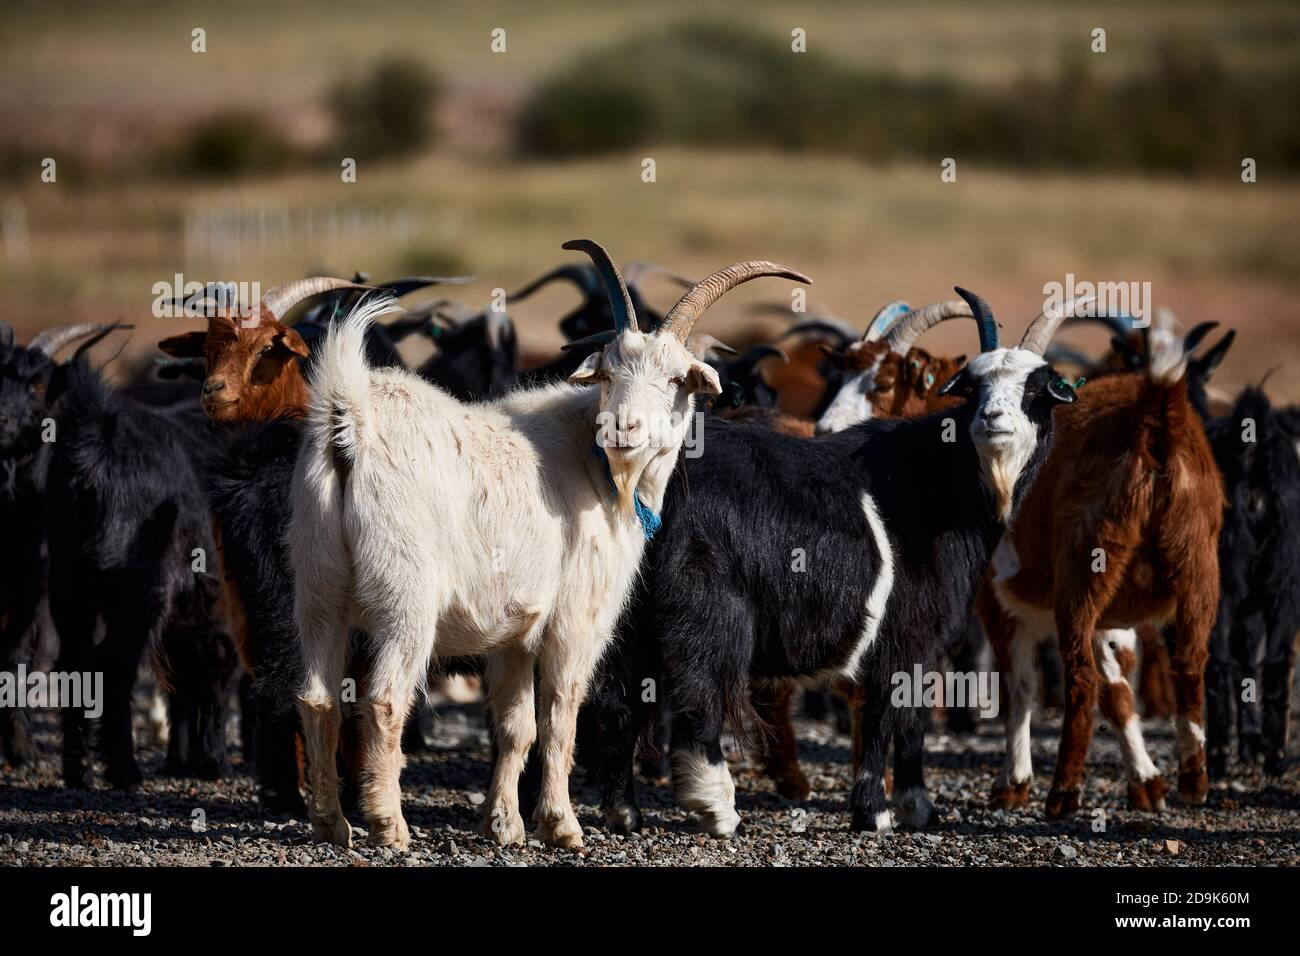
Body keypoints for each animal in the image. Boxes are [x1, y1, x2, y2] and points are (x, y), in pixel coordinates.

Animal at [290, 239, 807, 850]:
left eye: (677, 380)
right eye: (609, 371)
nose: (623, 429)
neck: (595, 466)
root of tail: (352, 421)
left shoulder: (513, 631)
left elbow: (515, 727)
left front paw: (503, 825)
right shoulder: (575, 619)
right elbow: (560, 716)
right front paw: (561, 824)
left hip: (318, 585)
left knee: (317, 698)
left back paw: (331, 821)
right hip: (405, 598)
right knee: (386, 699)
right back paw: (388, 823)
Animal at [591, 289, 1077, 835]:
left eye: (1039, 389)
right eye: (974, 386)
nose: (992, 419)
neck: (938, 480)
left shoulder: (920, 642)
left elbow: (912, 719)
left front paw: (917, 807)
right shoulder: (906, 633)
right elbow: (886, 714)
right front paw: (876, 812)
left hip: (628, 614)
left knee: (618, 700)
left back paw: (623, 812)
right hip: (708, 609)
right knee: (699, 691)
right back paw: (718, 808)